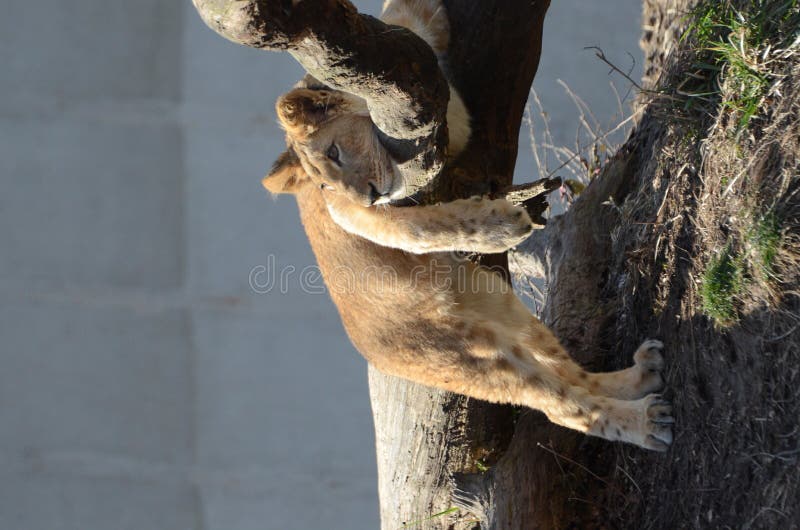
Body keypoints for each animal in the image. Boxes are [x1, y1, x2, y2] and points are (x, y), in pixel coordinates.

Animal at [261, 0, 674, 451]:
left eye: (334, 153)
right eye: (323, 183)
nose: (367, 195)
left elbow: (405, 23)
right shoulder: (358, 215)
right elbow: (424, 228)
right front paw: (502, 225)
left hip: (499, 304)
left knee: (568, 373)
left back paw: (640, 376)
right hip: (472, 357)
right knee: (560, 405)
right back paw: (644, 422)